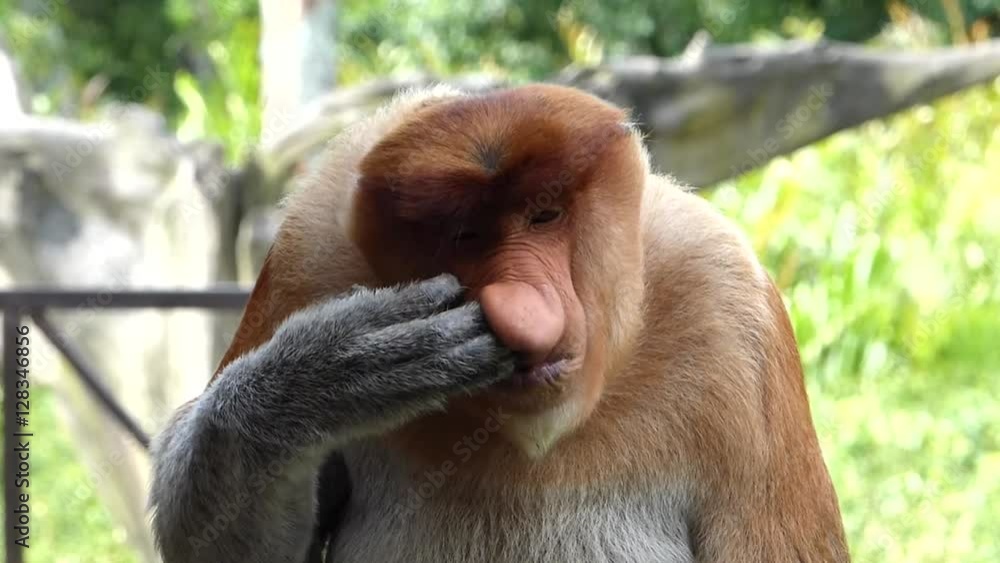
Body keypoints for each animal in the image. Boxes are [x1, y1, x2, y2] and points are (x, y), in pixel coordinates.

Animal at [148, 84, 850, 563]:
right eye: (466, 235)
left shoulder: (730, 308)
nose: (522, 312)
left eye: (544, 216)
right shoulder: (307, 255)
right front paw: (325, 372)